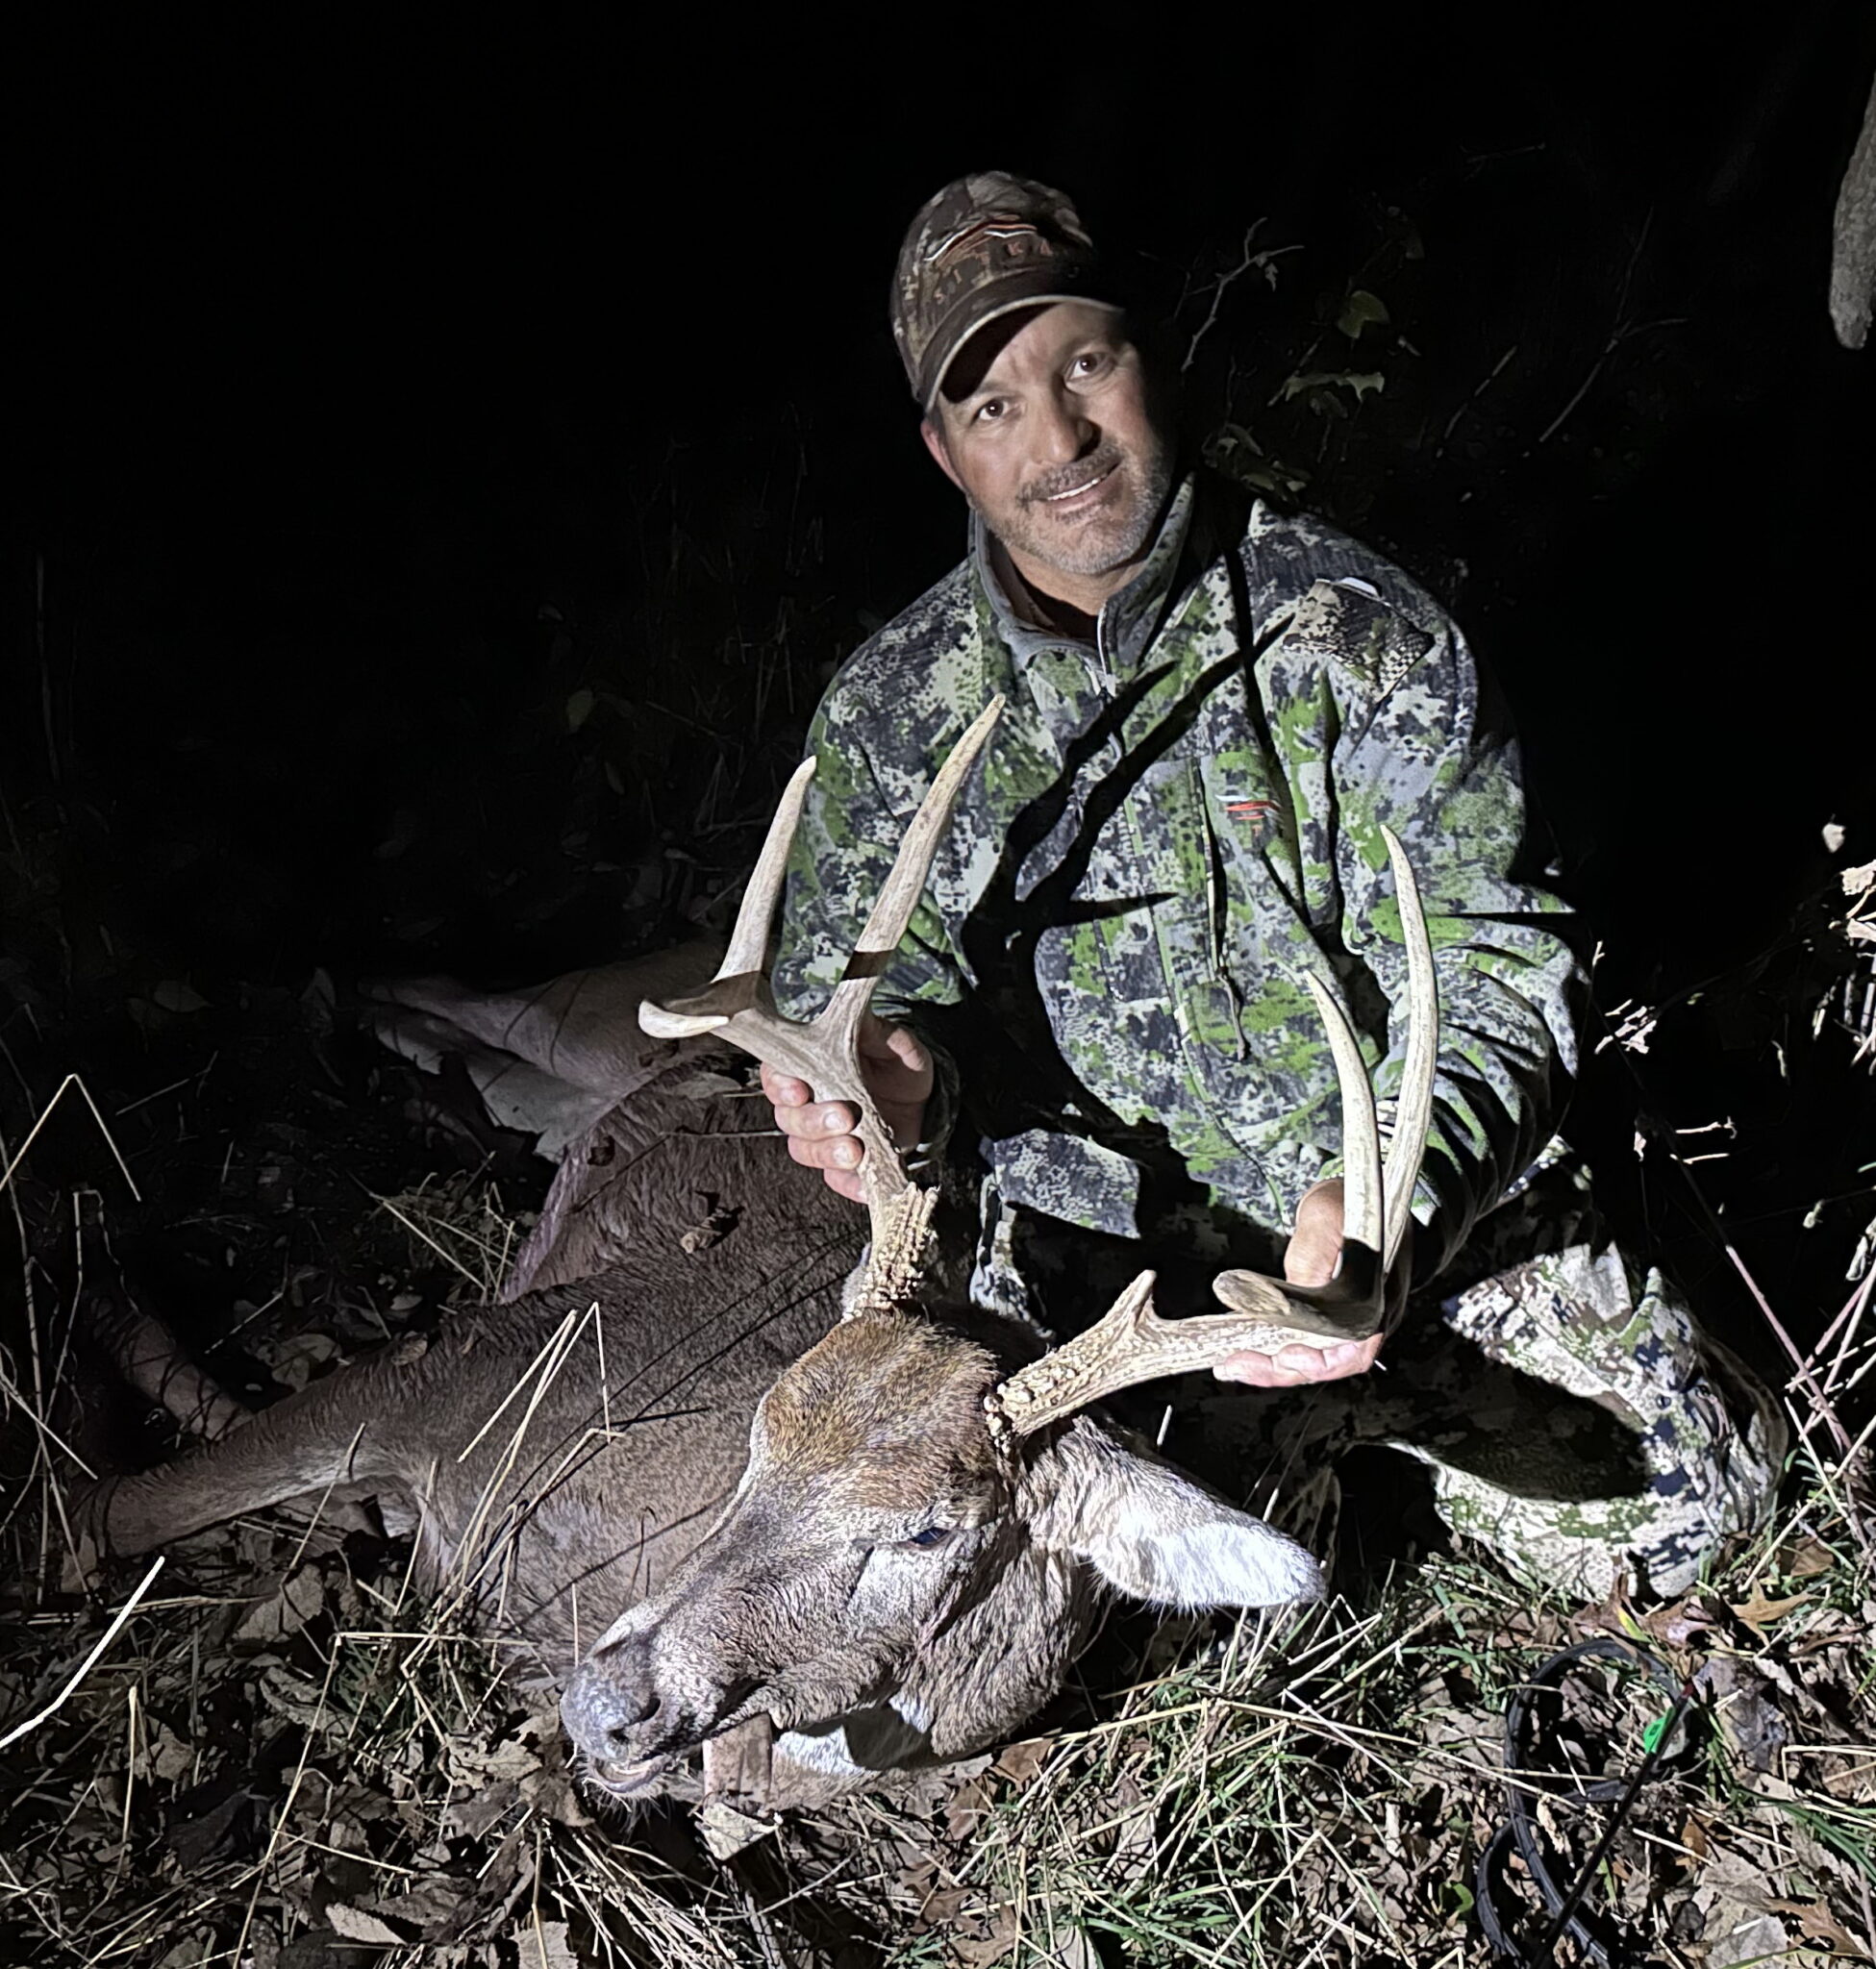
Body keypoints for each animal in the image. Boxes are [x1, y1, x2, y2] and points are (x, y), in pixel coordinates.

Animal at [77, 695, 1439, 1813]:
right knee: (444, 980)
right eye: (759, 1431)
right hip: (595, 1006)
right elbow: (117, 1509)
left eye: (929, 1532)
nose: (604, 1707)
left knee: (468, 1047)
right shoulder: (460, 1359)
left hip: (561, 1080)